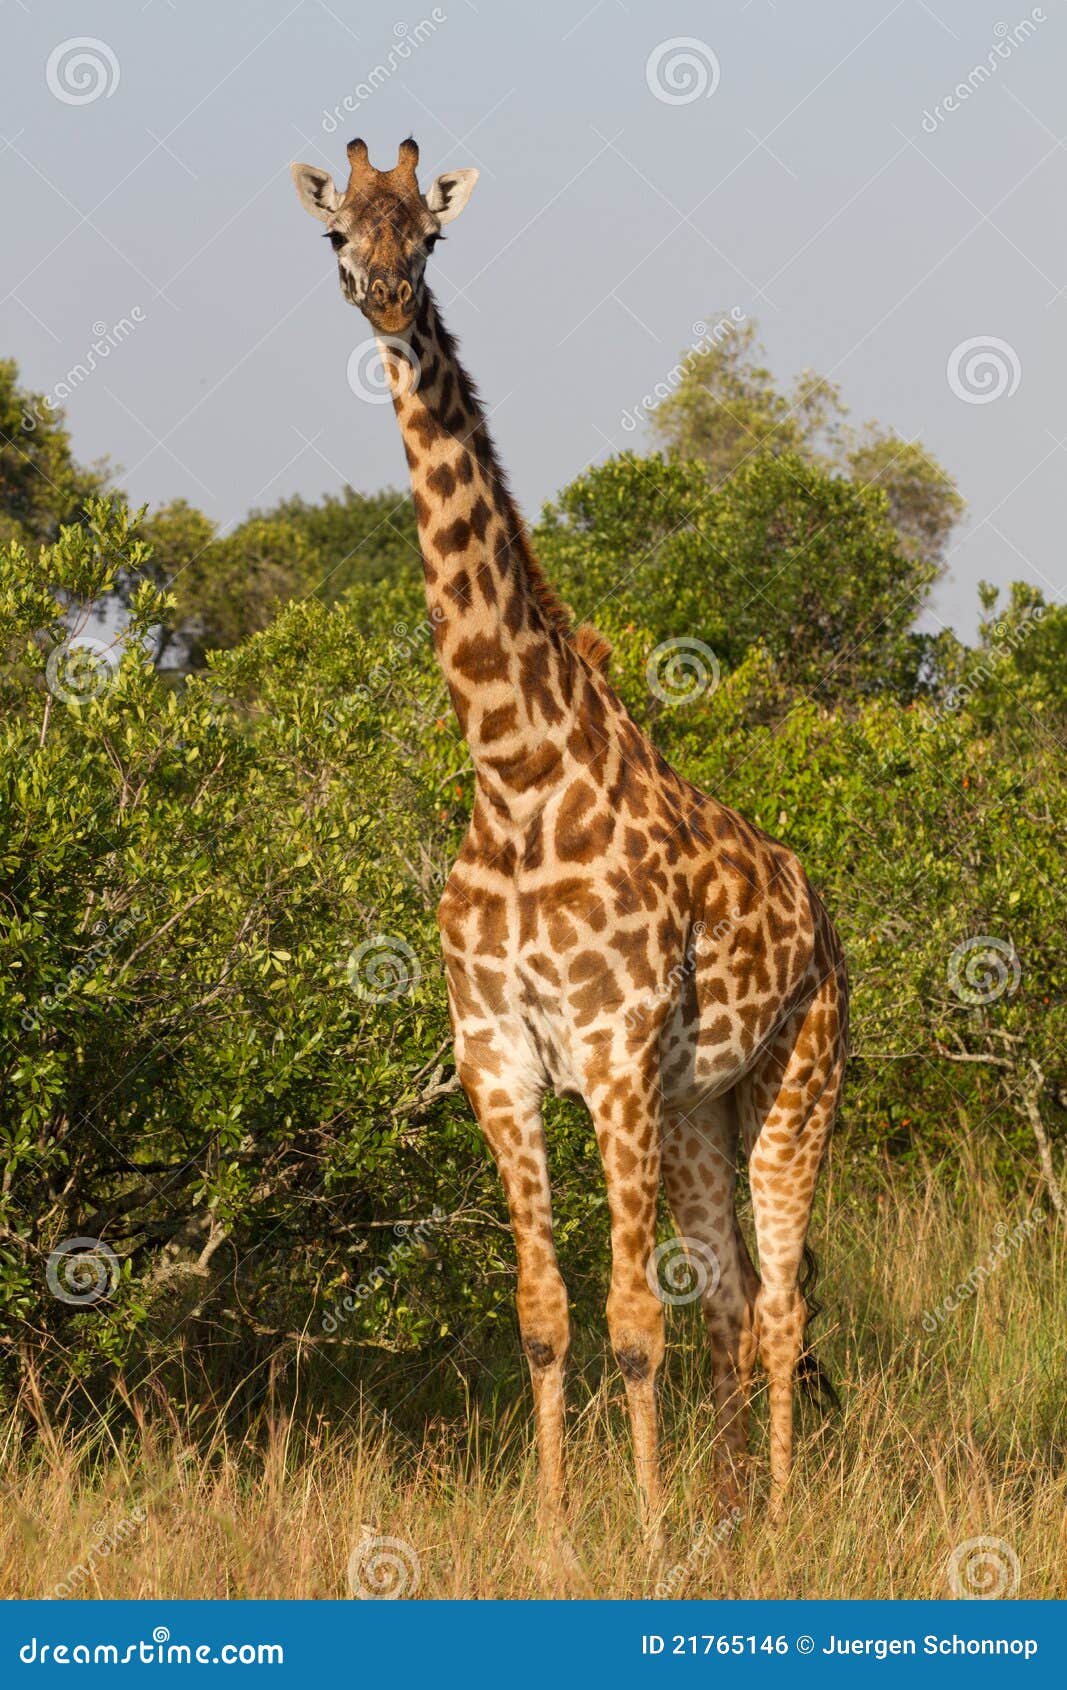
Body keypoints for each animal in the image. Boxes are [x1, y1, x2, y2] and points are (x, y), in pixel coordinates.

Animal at [291, 138, 849, 1534]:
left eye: (427, 233)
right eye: (338, 235)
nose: (386, 297)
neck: (513, 774)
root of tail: (822, 913)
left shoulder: (607, 1056)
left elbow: (630, 1319)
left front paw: (640, 1533)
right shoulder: (497, 1058)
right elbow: (544, 1315)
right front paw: (552, 1532)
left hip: (797, 1076)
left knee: (776, 1302)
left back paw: (770, 1512)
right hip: (700, 1103)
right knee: (733, 1304)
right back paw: (727, 1508)